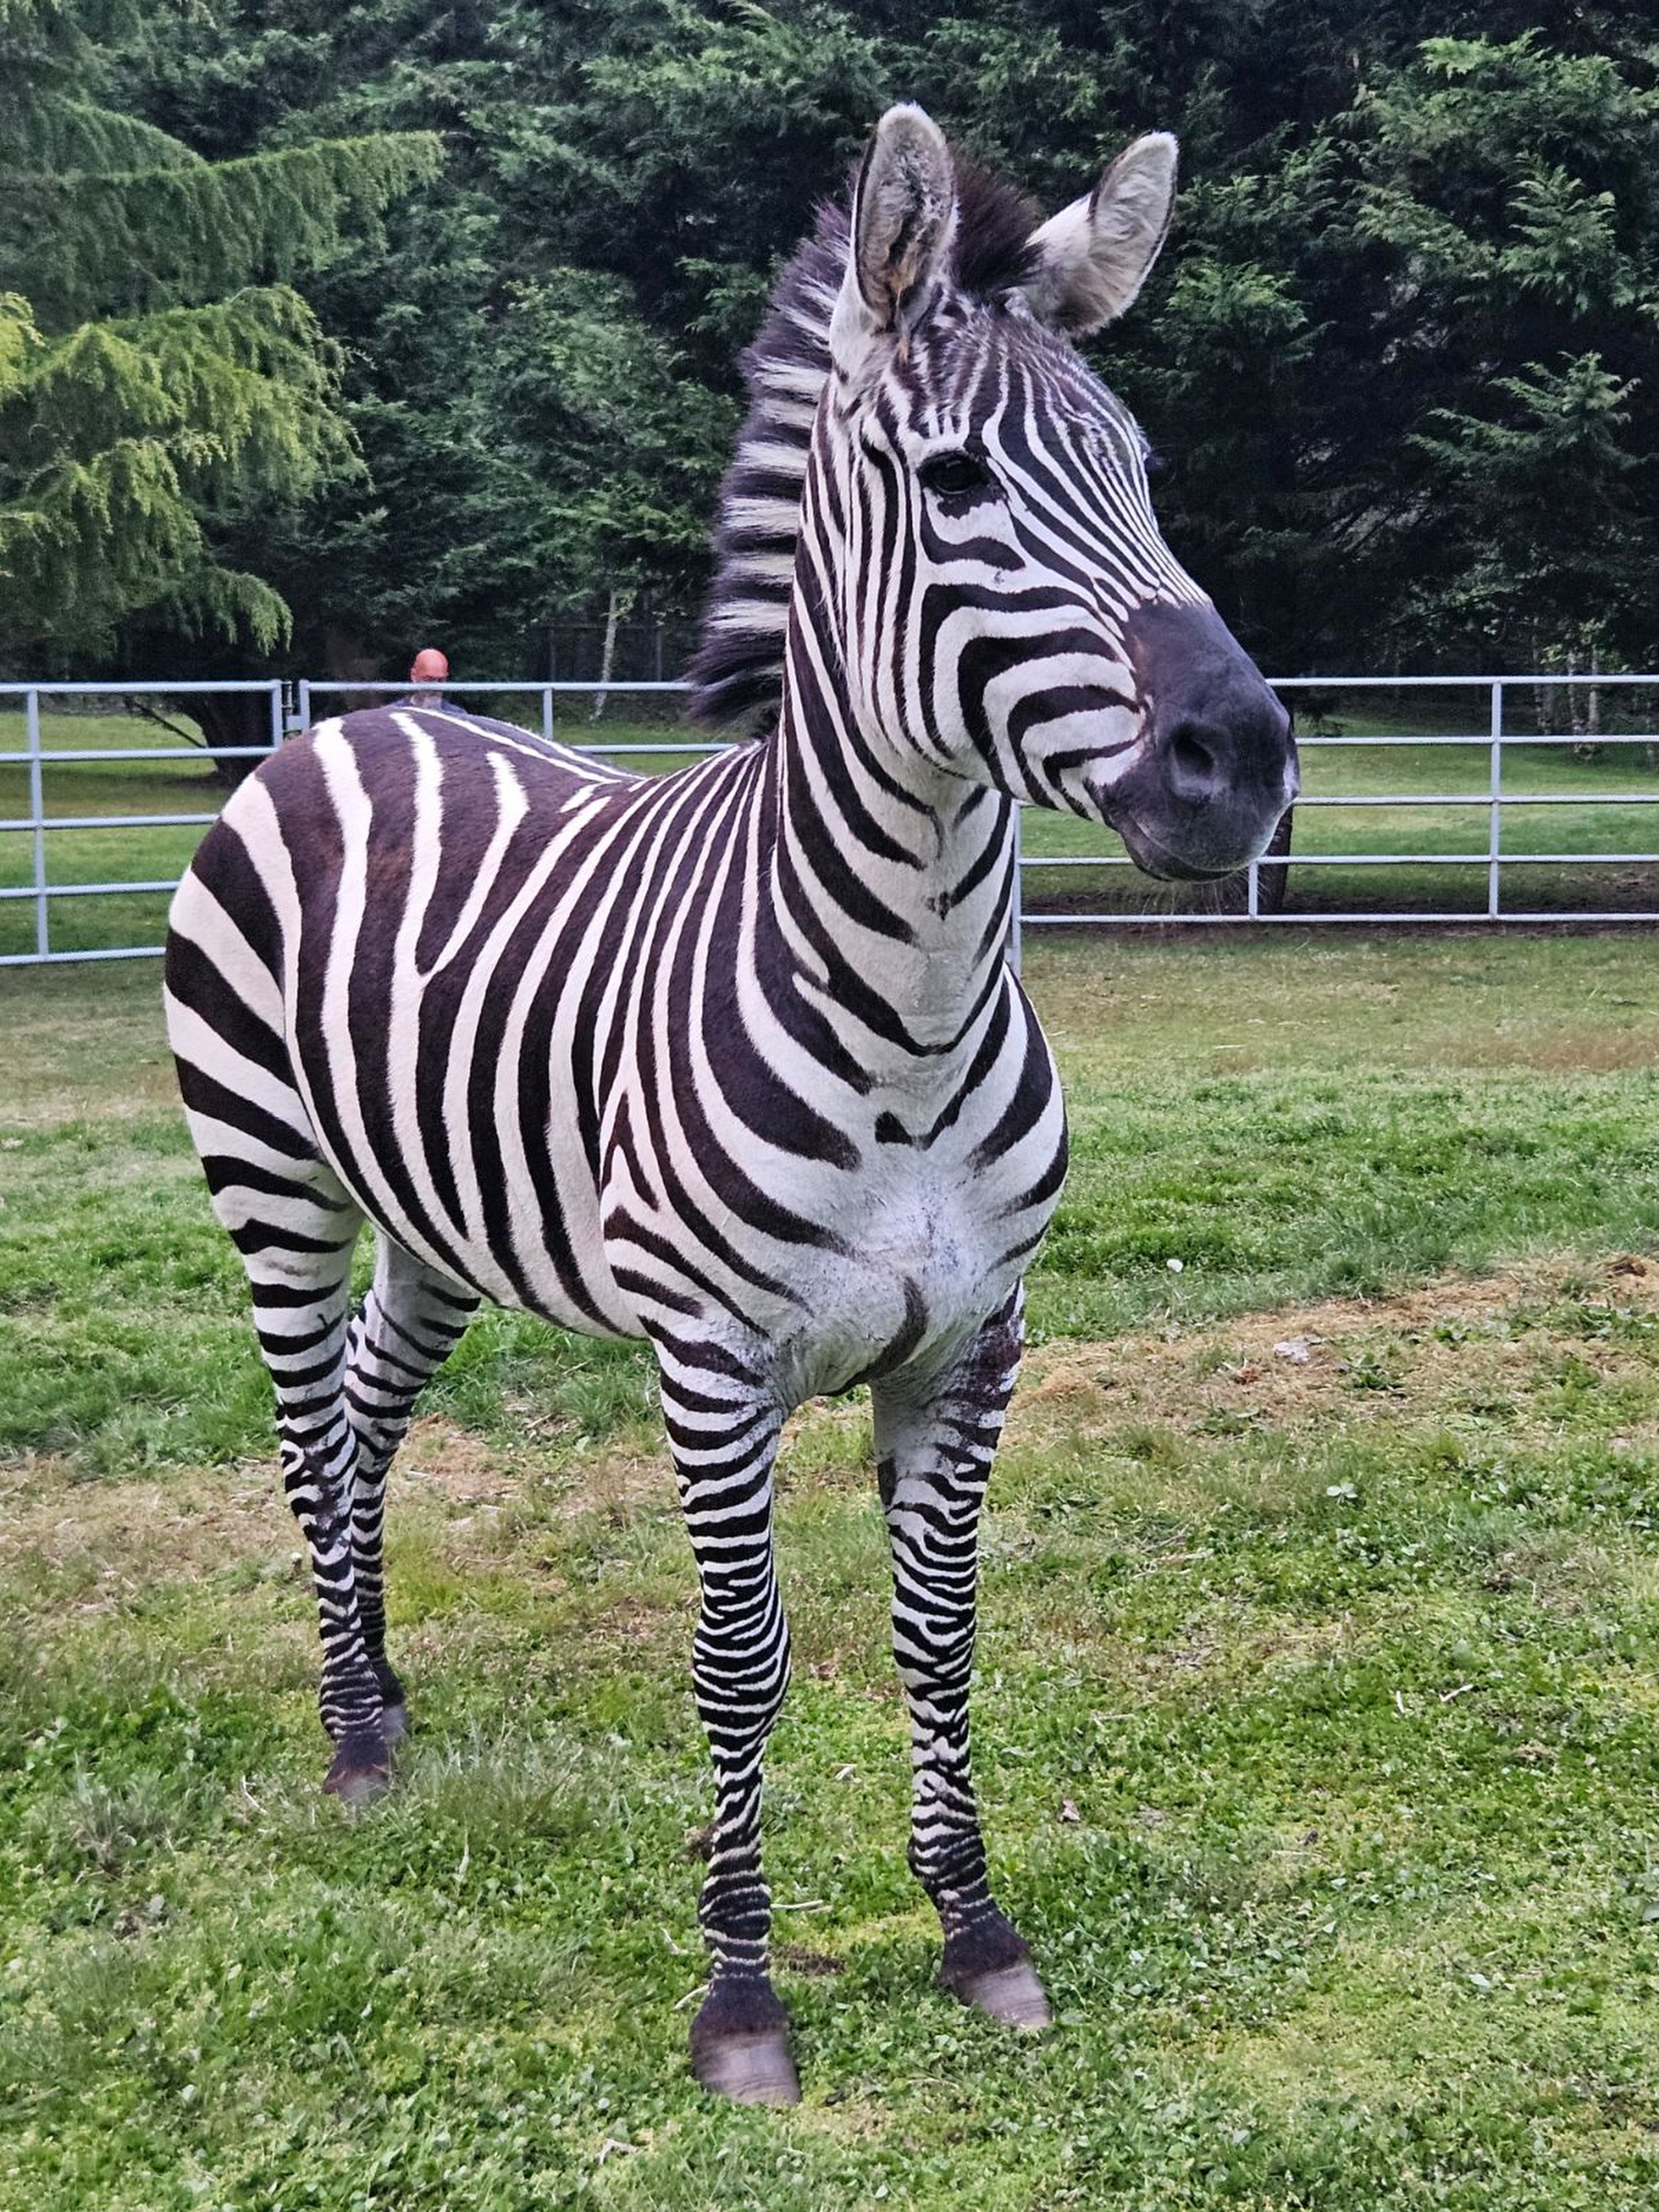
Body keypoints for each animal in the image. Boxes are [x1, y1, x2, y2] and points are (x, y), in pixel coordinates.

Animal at [164, 105, 1295, 2106]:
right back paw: (352, 1734)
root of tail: (351, 719)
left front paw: (976, 1930)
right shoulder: (711, 1365)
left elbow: (941, 1637)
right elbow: (744, 1660)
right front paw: (742, 1993)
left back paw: (386, 1688)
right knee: (305, 1432)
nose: (1241, 761)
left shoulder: (977, 1341)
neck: (913, 1012)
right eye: (951, 478)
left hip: (440, 1223)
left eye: (1145, 473)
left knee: (368, 1421)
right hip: (270, 1179)